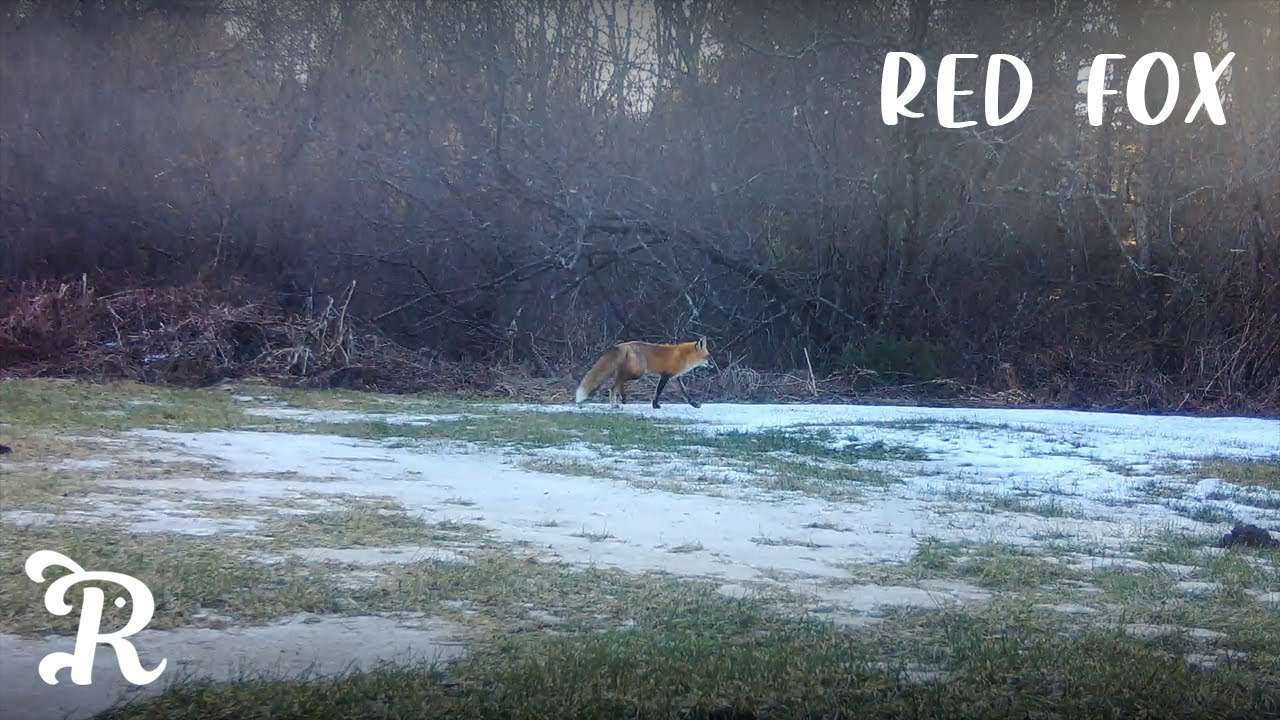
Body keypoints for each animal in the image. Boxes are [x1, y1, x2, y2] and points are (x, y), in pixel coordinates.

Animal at [574, 338, 714, 409]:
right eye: (708, 357)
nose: (713, 366)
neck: (684, 357)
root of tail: (622, 345)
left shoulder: (675, 378)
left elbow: (684, 392)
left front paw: (694, 403)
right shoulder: (665, 375)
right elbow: (658, 391)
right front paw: (655, 405)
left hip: (631, 371)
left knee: (618, 380)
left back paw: (622, 399)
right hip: (637, 373)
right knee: (615, 384)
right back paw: (616, 403)